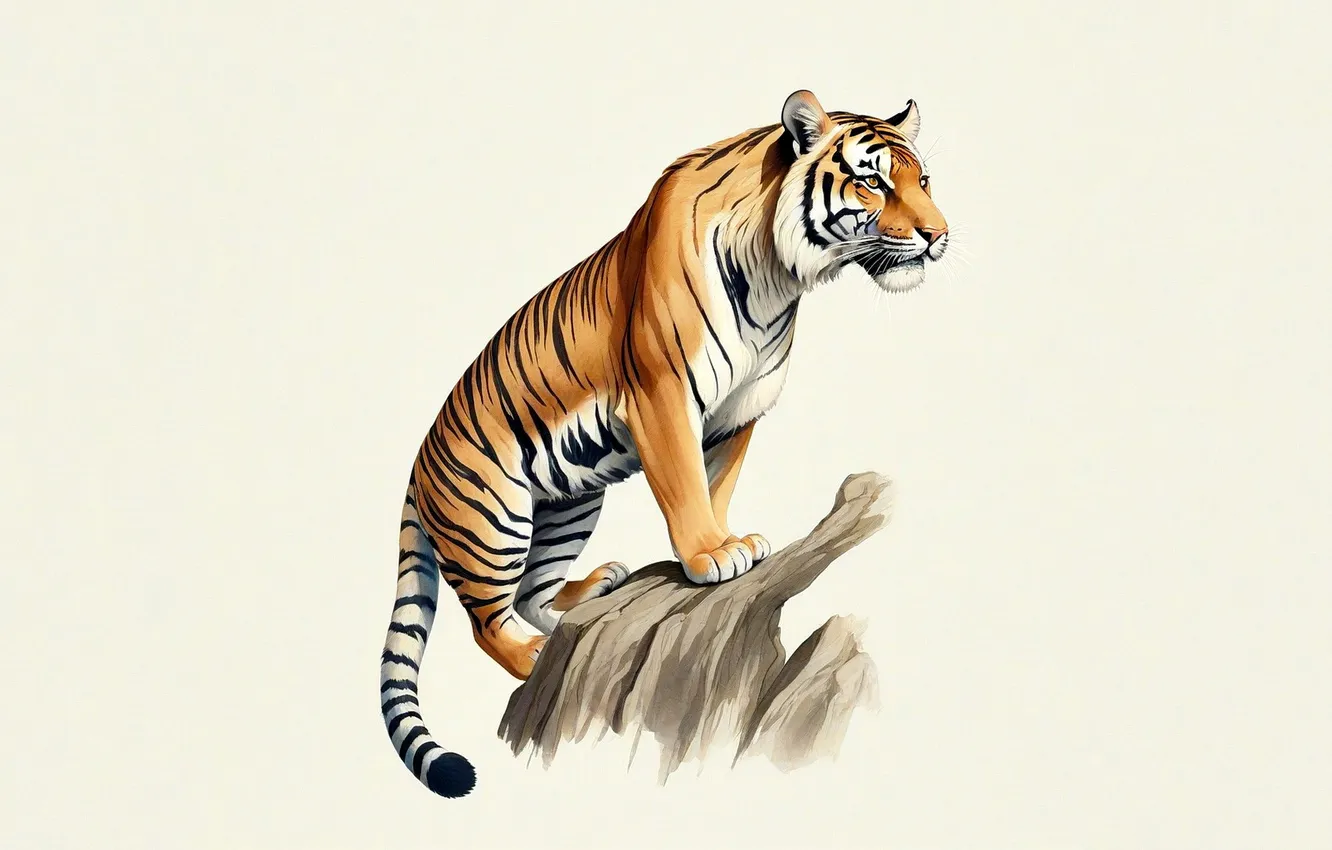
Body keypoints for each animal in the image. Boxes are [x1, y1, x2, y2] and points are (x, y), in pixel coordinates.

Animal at [379, 89, 950, 798]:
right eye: (873, 181)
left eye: (923, 182)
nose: (939, 236)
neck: (778, 275)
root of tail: (415, 468)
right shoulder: (663, 395)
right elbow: (683, 485)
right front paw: (710, 556)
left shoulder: (738, 410)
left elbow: (716, 484)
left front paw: (733, 544)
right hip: (491, 518)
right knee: (489, 620)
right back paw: (534, 657)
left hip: (570, 505)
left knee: (535, 591)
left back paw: (588, 596)